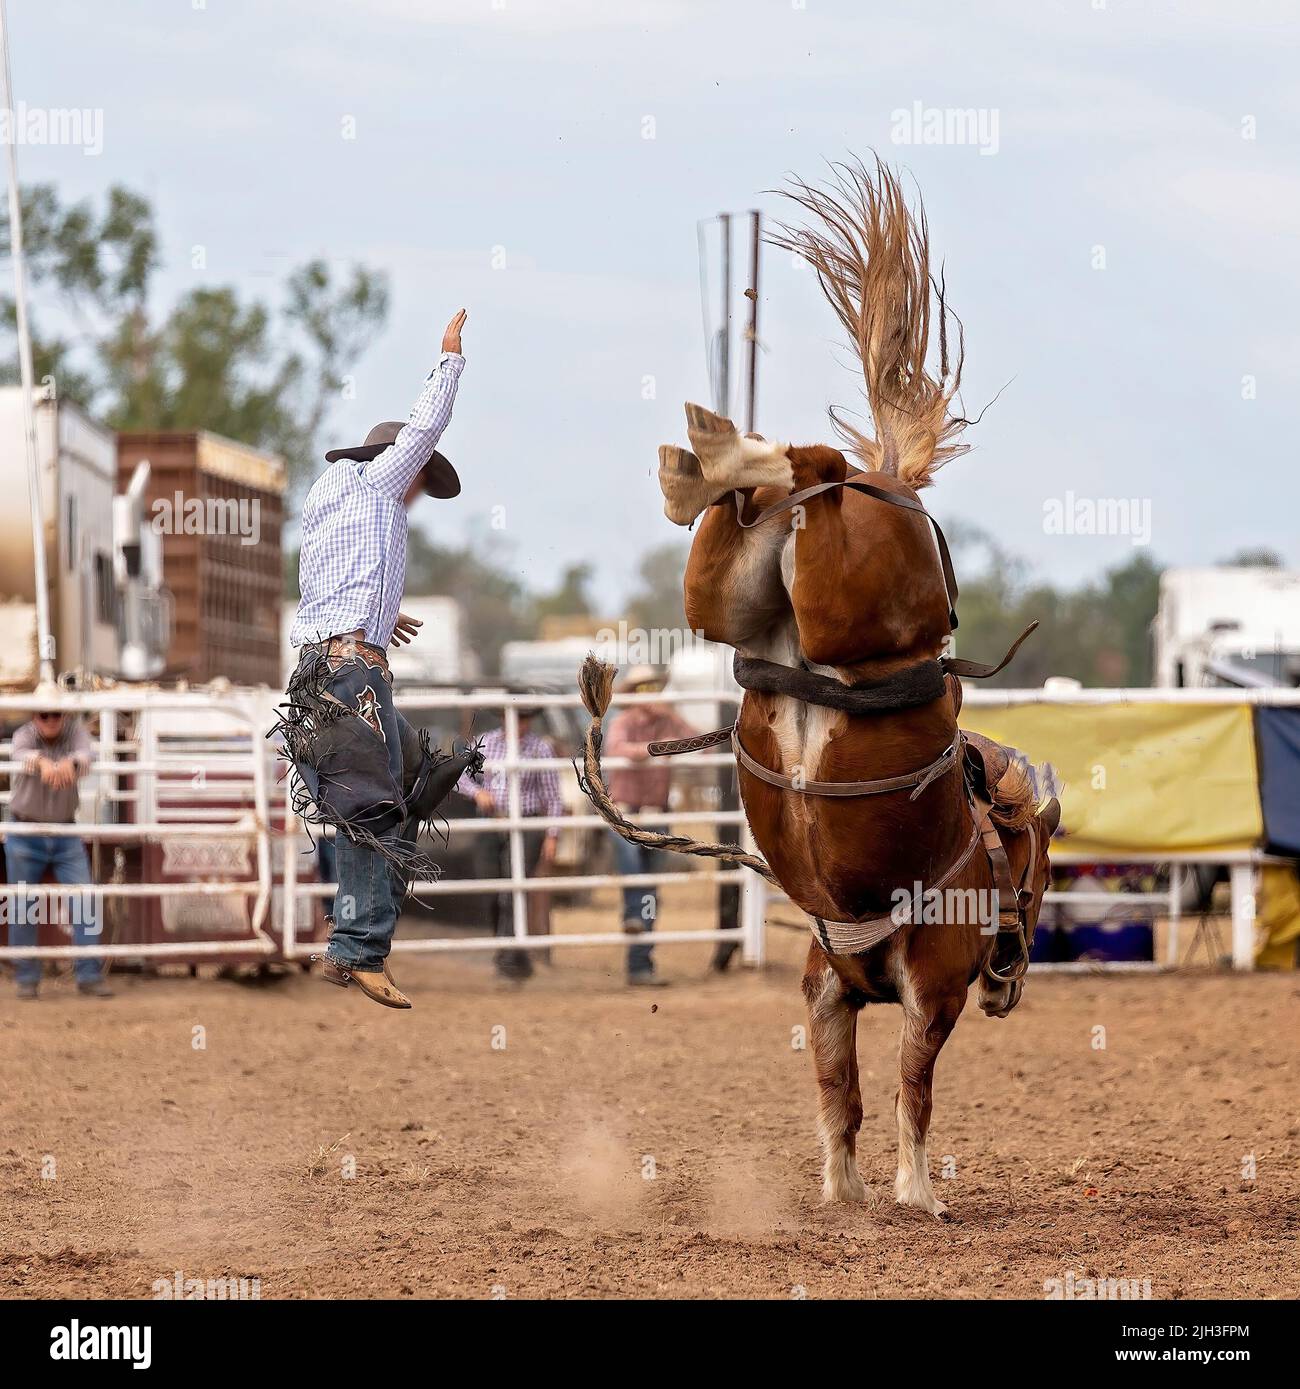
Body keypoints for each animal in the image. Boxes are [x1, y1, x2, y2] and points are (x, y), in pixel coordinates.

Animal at [578, 157, 1057, 1217]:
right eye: (1042, 873)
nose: (1011, 982)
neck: (979, 836)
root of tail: (893, 477)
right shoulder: (934, 987)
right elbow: (912, 1084)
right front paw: (916, 1190)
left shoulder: (824, 986)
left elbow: (839, 1086)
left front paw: (842, 1185)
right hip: (862, 578)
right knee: (818, 463)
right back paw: (728, 453)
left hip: (733, 589)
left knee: (789, 480)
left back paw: (705, 459)